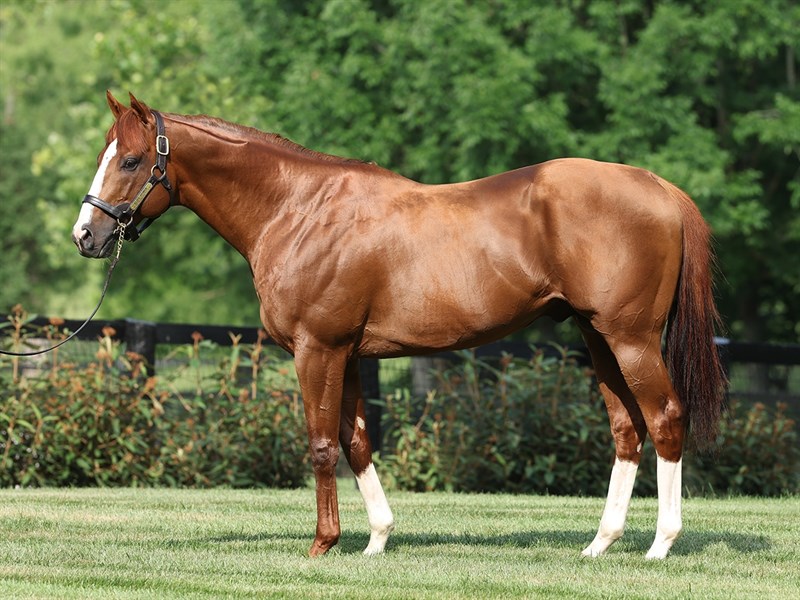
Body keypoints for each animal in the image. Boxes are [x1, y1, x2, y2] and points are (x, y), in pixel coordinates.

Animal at [72, 92, 726, 559]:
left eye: (130, 160)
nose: (86, 235)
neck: (299, 209)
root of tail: (658, 187)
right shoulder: (350, 354)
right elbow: (357, 440)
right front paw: (377, 539)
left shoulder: (318, 349)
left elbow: (320, 444)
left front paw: (323, 544)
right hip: (597, 339)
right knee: (626, 430)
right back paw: (599, 544)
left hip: (631, 340)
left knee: (665, 419)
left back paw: (660, 545)